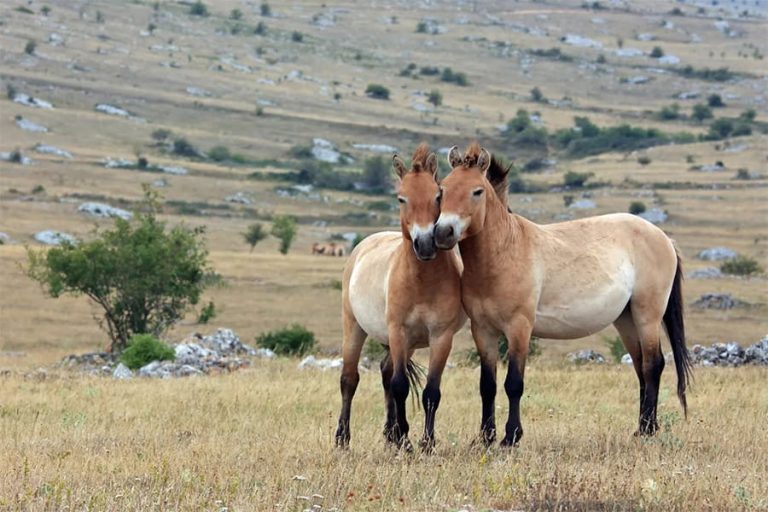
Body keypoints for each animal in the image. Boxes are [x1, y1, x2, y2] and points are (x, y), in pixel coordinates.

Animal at [335, 144, 465, 452]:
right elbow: (401, 386)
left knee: (385, 371)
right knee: (350, 379)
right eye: (401, 198)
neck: (420, 282)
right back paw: (343, 438)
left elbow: (430, 391)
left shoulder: (440, 337)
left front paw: (425, 442)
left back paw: (389, 435)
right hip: (354, 327)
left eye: (438, 195)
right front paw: (405, 438)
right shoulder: (398, 332)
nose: (426, 243)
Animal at [433, 143, 692, 446]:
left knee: (654, 364)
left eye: (477, 191)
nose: (443, 232)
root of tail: (663, 237)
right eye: (442, 190)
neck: (505, 252)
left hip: (646, 315)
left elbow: (513, 384)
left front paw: (511, 437)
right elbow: (488, 385)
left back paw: (648, 430)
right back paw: (641, 428)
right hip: (626, 319)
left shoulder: (519, 328)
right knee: (641, 367)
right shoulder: (483, 331)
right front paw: (485, 437)